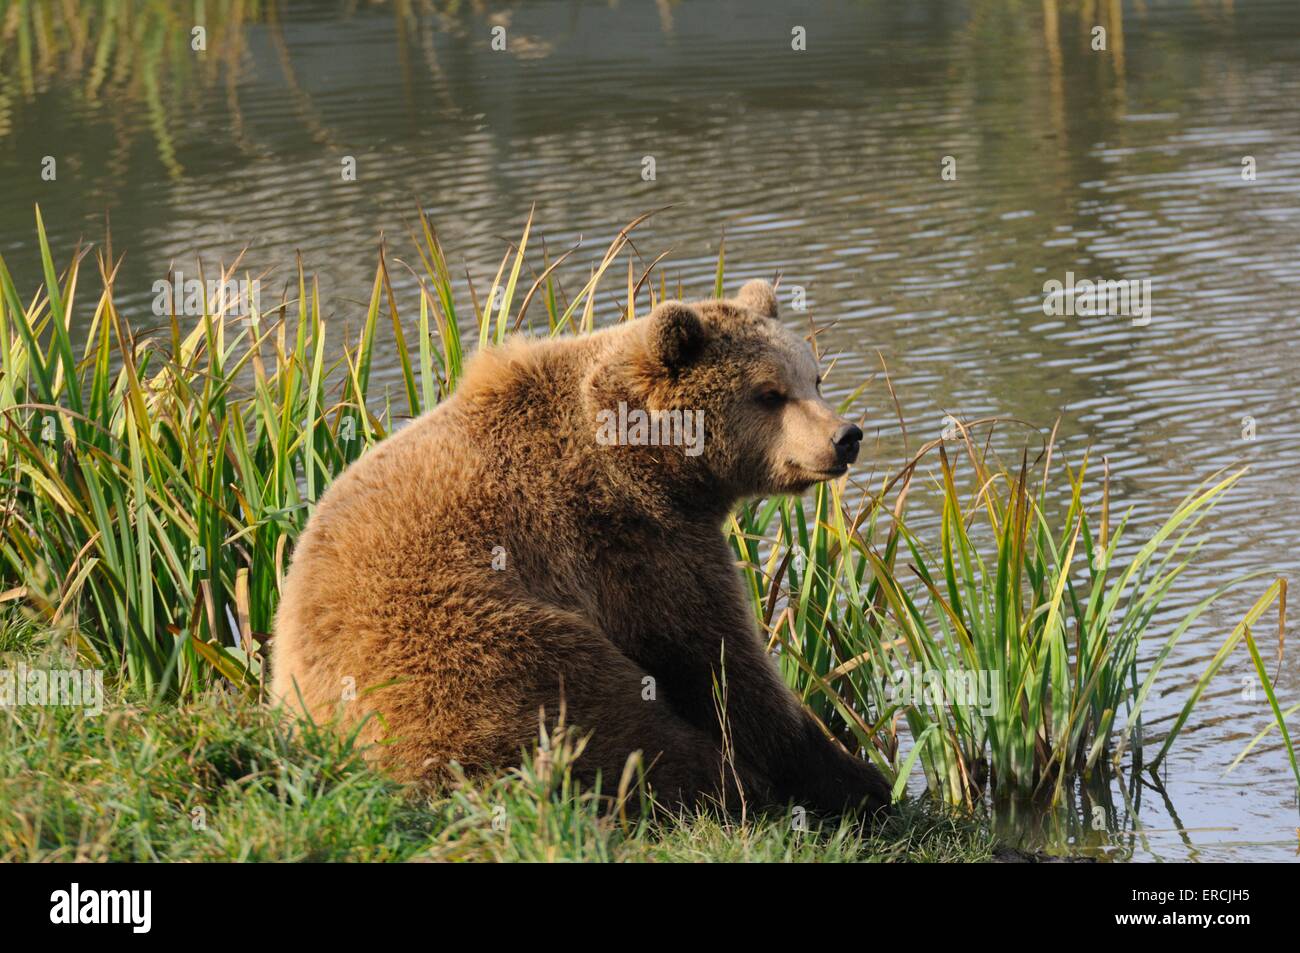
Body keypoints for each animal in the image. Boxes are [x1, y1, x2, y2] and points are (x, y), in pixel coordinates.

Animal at [271, 279, 892, 818]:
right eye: (769, 393)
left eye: (814, 378)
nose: (845, 436)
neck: (649, 458)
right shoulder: (629, 542)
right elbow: (718, 661)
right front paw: (855, 778)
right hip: (478, 654)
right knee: (608, 721)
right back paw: (731, 786)